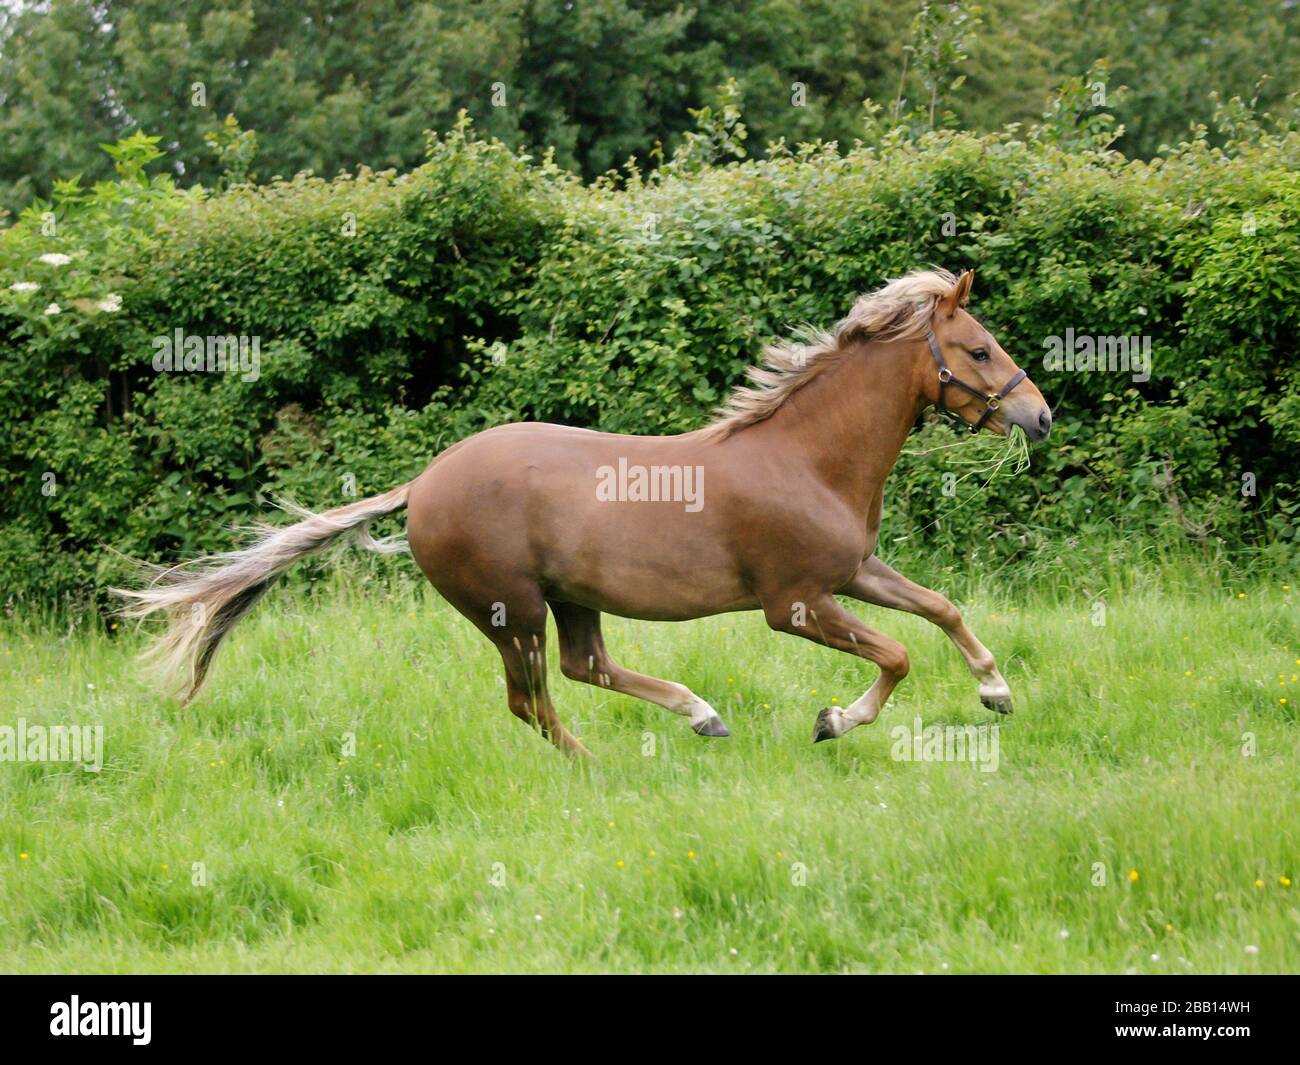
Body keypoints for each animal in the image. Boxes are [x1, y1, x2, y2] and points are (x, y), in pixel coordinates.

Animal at [118, 268, 1052, 757]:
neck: (806, 457)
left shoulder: (851, 570)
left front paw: (997, 690)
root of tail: (423, 483)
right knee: (532, 699)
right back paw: (595, 761)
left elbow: (941, 608)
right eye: (978, 349)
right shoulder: (794, 602)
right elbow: (896, 653)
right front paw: (833, 719)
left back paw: (700, 714)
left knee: (583, 667)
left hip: (570, 599)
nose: (1038, 415)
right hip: (512, 608)